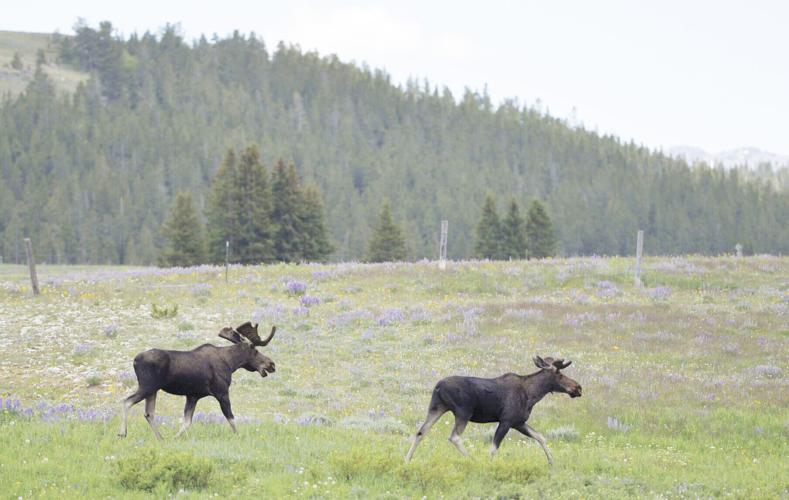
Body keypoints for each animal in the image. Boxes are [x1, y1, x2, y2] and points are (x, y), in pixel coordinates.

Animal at [117, 322, 276, 440]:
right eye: (255, 351)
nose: (272, 364)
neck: (231, 364)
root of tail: (135, 360)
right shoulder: (222, 392)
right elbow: (231, 418)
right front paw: (239, 437)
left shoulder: (193, 396)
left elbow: (187, 423)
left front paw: (175, 438)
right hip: (147, 386)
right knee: (127, 401)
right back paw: (122, 433)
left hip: (153, 390)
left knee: (148, 413)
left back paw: (161, 438)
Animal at [405, 356, 582, 464]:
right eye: (559, 374)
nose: (578, 387)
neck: (533, 395)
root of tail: (438, 387)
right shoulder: (506, 421)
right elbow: (494, 448)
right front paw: (489, 465)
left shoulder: (518, 422)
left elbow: (541, 437)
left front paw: (552, 462)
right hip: (463, 412)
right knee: (454, 437)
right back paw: (472, 459)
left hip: (437, 408)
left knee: (421, 432)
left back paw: (407, 460)